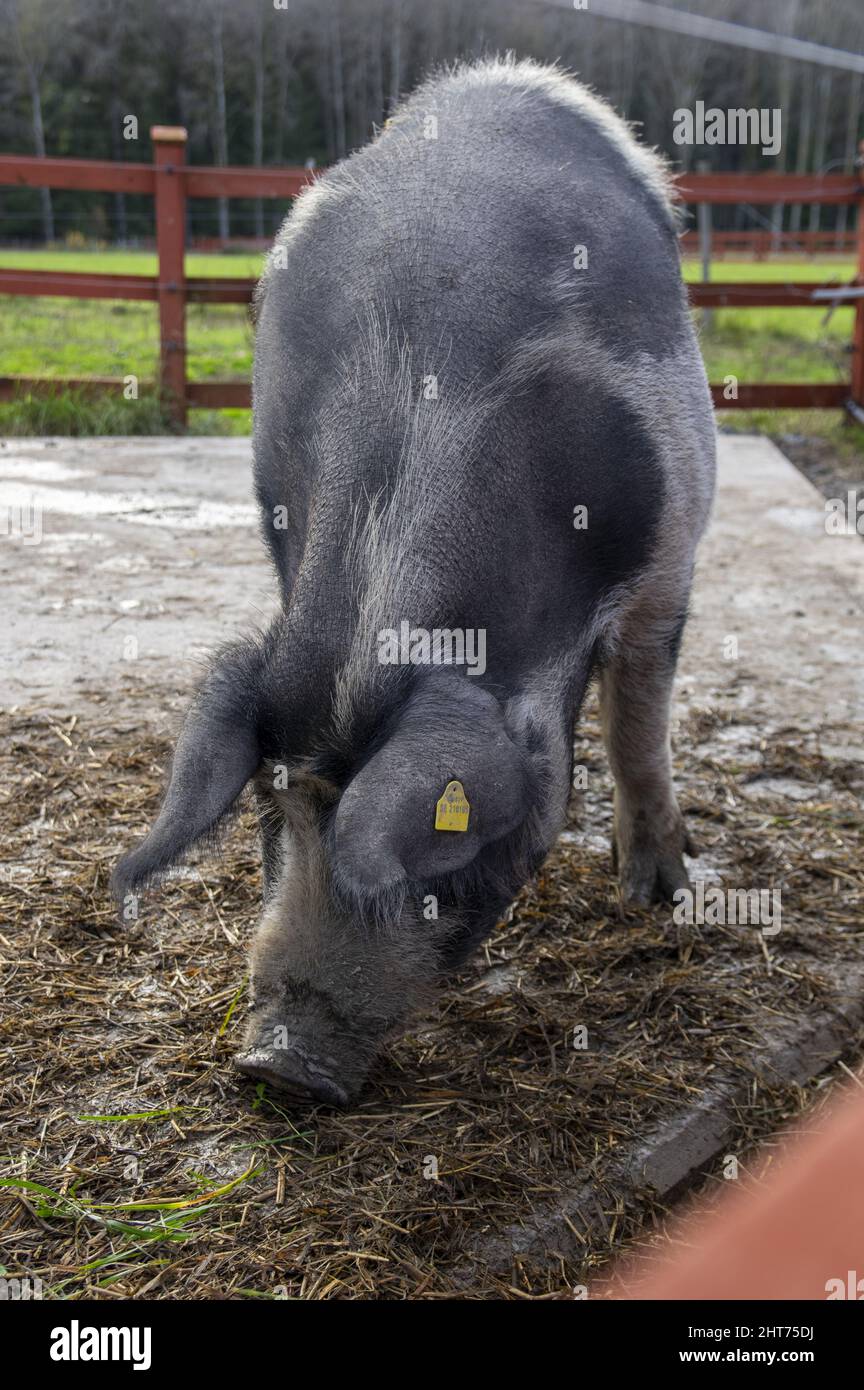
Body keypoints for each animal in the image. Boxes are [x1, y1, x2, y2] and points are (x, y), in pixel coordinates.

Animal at [113, 57, 715, 1106]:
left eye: (442, 845)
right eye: (269, 808)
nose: (277, 1065)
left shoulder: (670, 544)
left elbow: (639, 726)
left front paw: (658, 898)